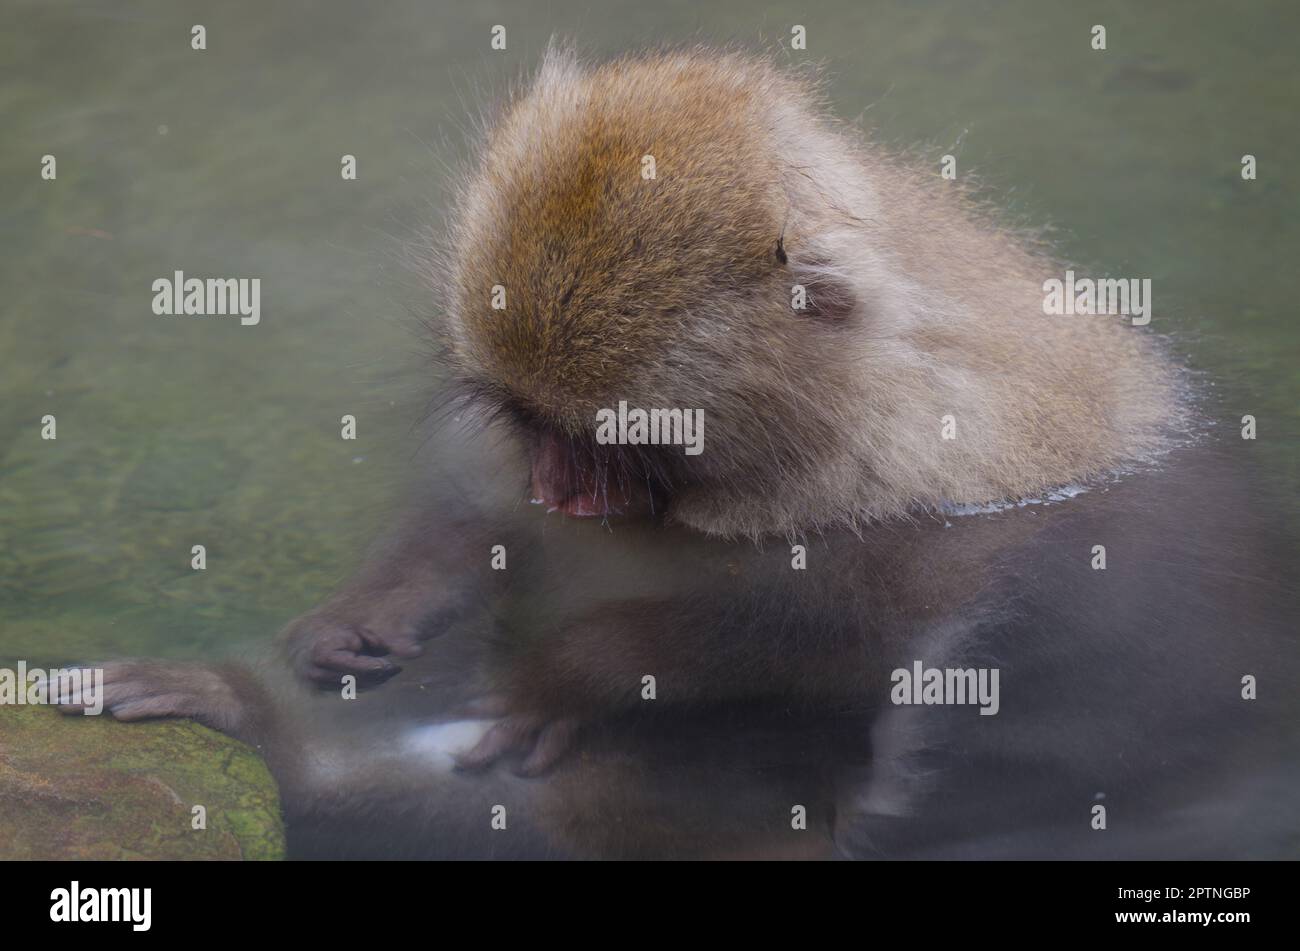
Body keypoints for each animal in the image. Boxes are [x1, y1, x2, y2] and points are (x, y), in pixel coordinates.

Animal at [57, 47, 1298, 860]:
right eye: (530, 423)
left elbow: (827, 641)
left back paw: (295, 763)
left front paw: (573, 670)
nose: (561, 493)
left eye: (605, 446)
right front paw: (373, 608)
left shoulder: (922, 497)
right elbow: (473, 504)